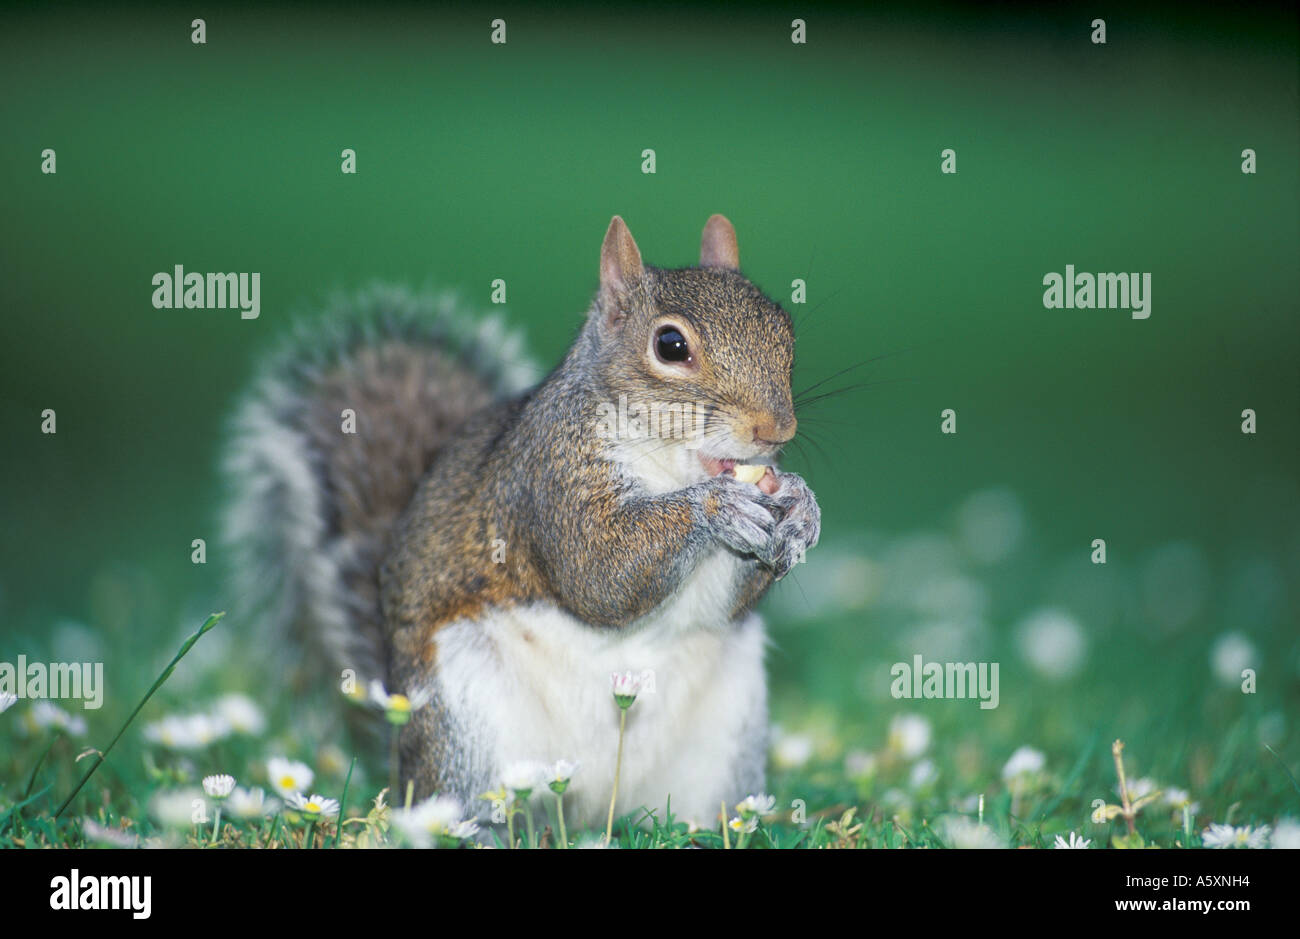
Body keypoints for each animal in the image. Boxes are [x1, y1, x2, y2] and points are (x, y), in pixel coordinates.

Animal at [223, 215, 821, 831]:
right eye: (670, 345)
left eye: (784, 330)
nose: (775, 430)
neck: (667, 463)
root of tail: (590, 811)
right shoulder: (548, 481)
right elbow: (599, 575)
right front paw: (717, 507)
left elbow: (727, 601)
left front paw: (802, 508)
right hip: (468, 724)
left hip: (725, 741)